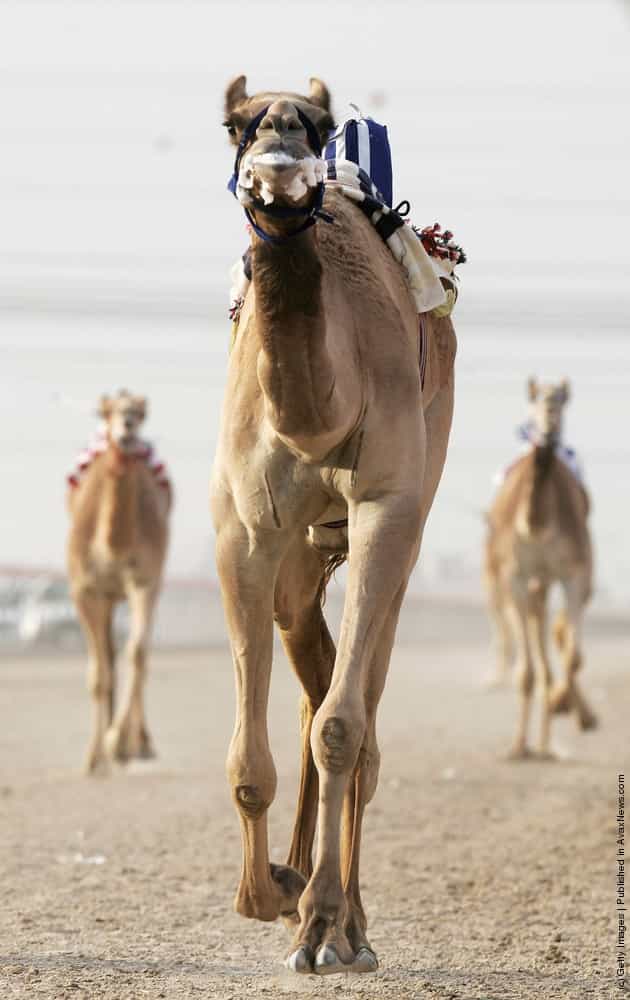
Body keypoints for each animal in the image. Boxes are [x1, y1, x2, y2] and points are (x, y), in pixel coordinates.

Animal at [67, 390, 171, 774]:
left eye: (141, 413)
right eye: (107, 411)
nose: (126, 425)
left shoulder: (144, 581)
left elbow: (136, 654)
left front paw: (119, 746)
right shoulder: (84, 590)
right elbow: (98, 675)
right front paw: (94, 758)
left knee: (136, 655)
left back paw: (139, 744)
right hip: (106, 597)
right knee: (107, 657)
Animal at [211, 76, 457, 975]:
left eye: (316, 126)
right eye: (236, 126)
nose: (279, 158)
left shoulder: (387, 507)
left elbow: (345, 729)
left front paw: (320, 926)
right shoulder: (243, 531)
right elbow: (248, 759)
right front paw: (269, 895)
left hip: (406, 514)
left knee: (358, 716)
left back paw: (350, 923)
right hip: (300, 560)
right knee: (312, 686)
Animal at [483, 377, 597, 758]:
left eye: (561, 400)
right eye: (534, 402)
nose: (548, 424)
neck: (536, 523)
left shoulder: (576, 572)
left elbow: (574, 655)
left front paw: (568, 707)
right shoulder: (515, 577)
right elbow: (527, 671)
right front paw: (518, 747)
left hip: (552, 580)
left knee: (556, 636)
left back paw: (555, 733)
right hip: (528, 583)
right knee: (538, 638)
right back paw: (535, 742)